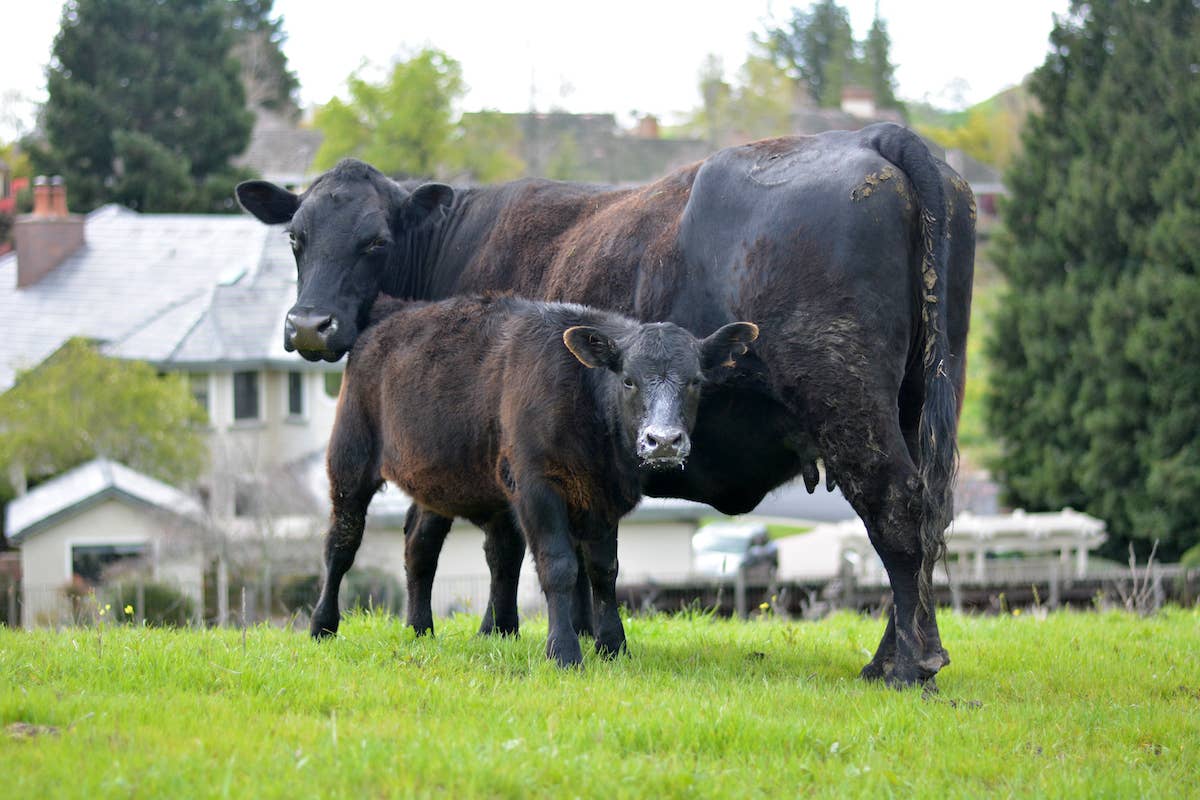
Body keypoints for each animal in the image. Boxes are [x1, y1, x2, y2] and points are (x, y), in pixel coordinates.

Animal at [313, 292, 757, 665]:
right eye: (628, 379)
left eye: (695, 381)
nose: (663, 441)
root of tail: (390, 314)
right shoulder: (536, 486)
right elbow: (559, 566)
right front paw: (563, 651)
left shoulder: (604, 498)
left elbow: (604, 570)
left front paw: (613, 646)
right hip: (350, 458)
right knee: (341, 543)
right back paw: (323, 625)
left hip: (438, 484)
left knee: (420, 547)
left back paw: (420, 629)